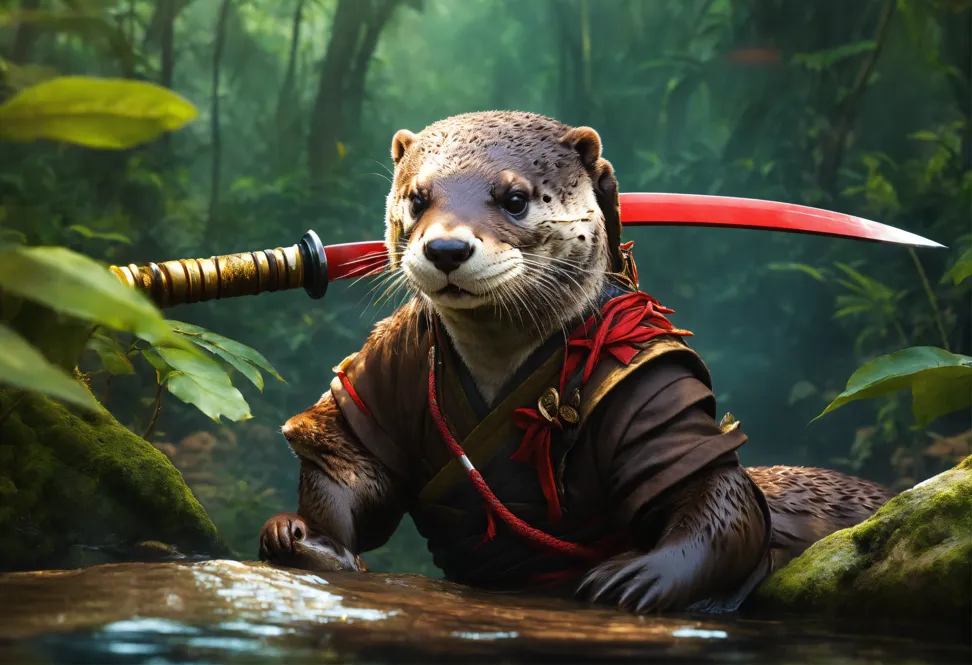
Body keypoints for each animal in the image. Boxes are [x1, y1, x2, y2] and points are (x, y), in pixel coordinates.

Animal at [258, 111, 893, 613]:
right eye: (417, 197)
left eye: (514, 199)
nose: (446, 248)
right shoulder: (388, 363)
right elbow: (347, 460)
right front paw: (304, 536)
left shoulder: (654, 384)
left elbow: (721, 499)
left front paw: (637, 577)